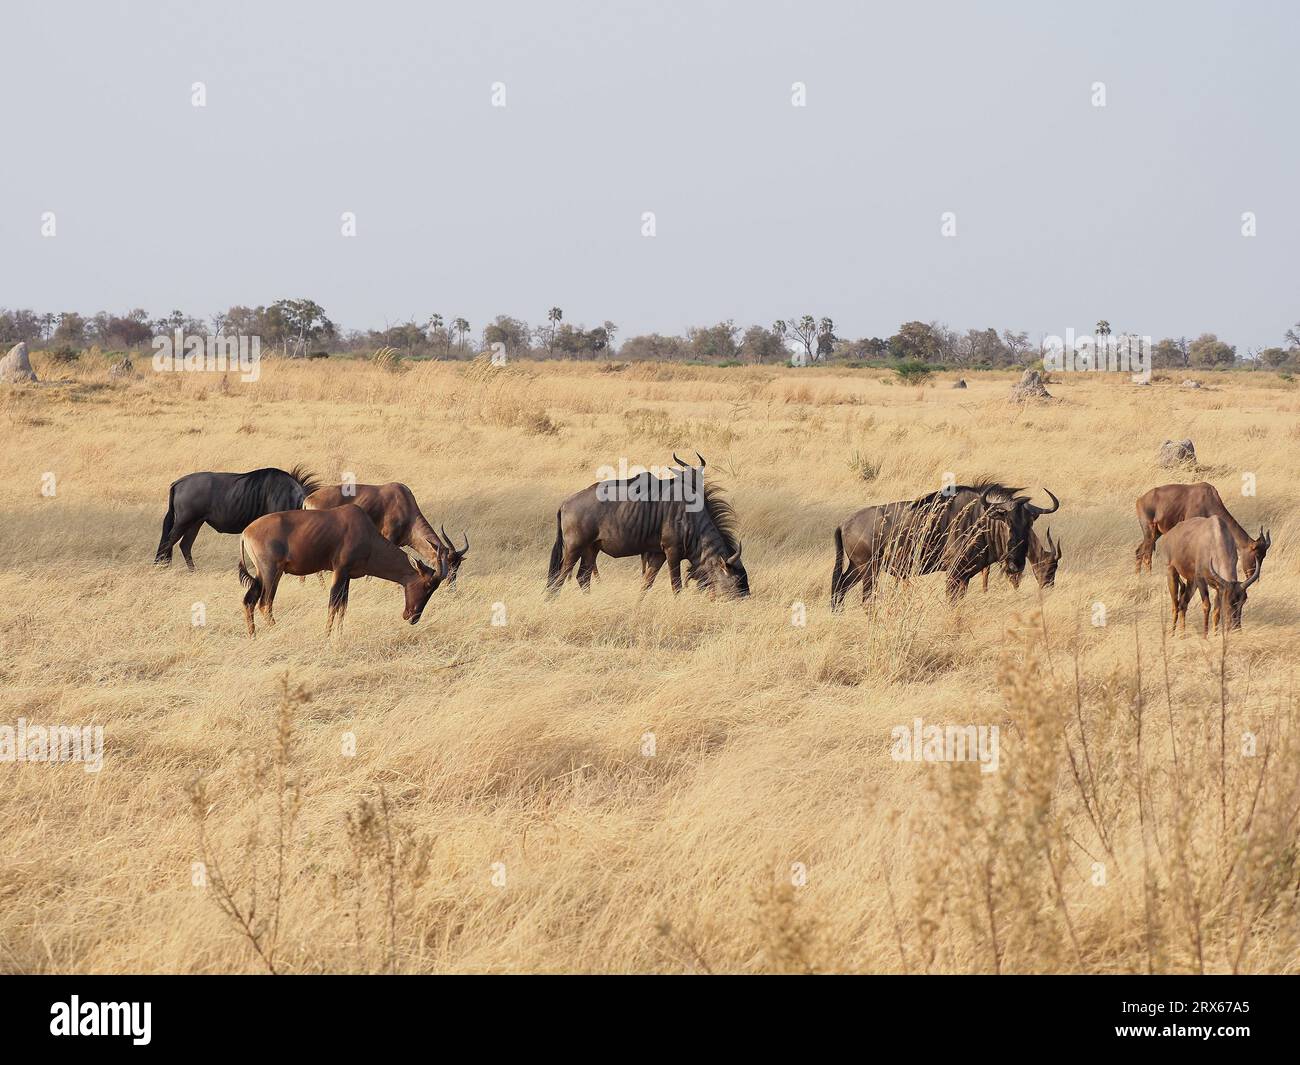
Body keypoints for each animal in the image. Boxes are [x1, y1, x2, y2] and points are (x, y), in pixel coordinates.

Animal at [238, 504, 448, 637]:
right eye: (428, 585)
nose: (412, 617)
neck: (366, 532)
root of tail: (245, 532)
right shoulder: (339, 571)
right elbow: (332, 604)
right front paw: (326, 638)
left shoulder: (348, 576)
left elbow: (343, 606)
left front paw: (338, 637)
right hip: (271, 572)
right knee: (265, 604)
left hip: (262, 574)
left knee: (249, 600)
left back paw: (253, 636)